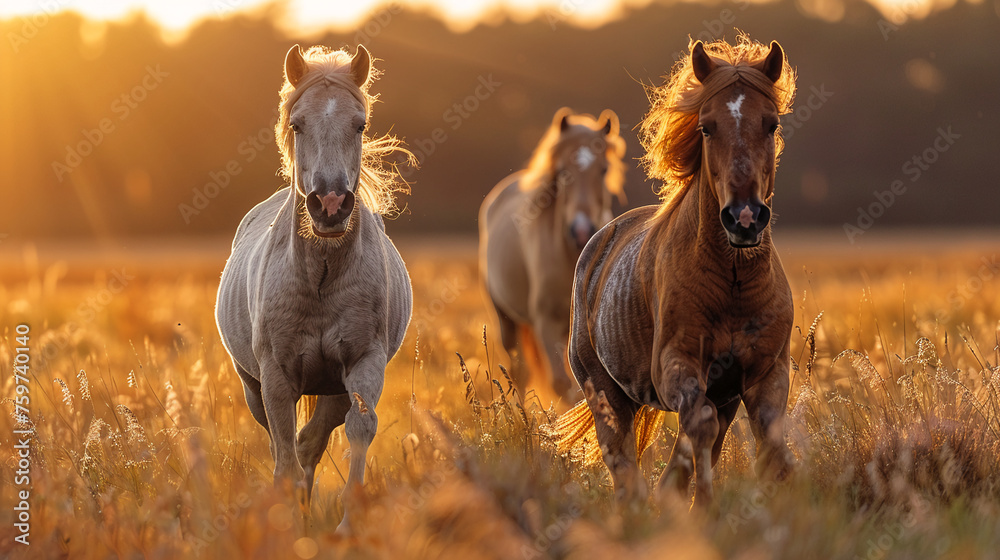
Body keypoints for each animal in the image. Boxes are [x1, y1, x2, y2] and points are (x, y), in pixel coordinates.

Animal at [215, 44, 412, 532]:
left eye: (359, 124)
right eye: (297, 124)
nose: (330, 204)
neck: (320, 276)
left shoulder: (362, 364)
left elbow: (358, 430)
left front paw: (346, 525)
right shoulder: (275, 376)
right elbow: (283, 449)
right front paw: (285, 523)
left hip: (333, 391)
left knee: (312, 440)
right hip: (252, 386)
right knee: (283, 444)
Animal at [478, 108, 626, 404]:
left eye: (604, 169)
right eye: (562, 172)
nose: (581, 230)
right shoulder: (546, 323)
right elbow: (562, 384)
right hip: (506, 318)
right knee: (519, 372)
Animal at [552, 36, 798, 508]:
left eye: (772, 124)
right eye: (706, 127)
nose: (744, 218)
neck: (733, 285)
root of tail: (598, 240)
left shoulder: (765, 374)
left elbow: (769, 447)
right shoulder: (676, 365)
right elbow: (698, 428)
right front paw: (697, 504)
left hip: (722, 395)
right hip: (605, 392)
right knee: (623, 461)